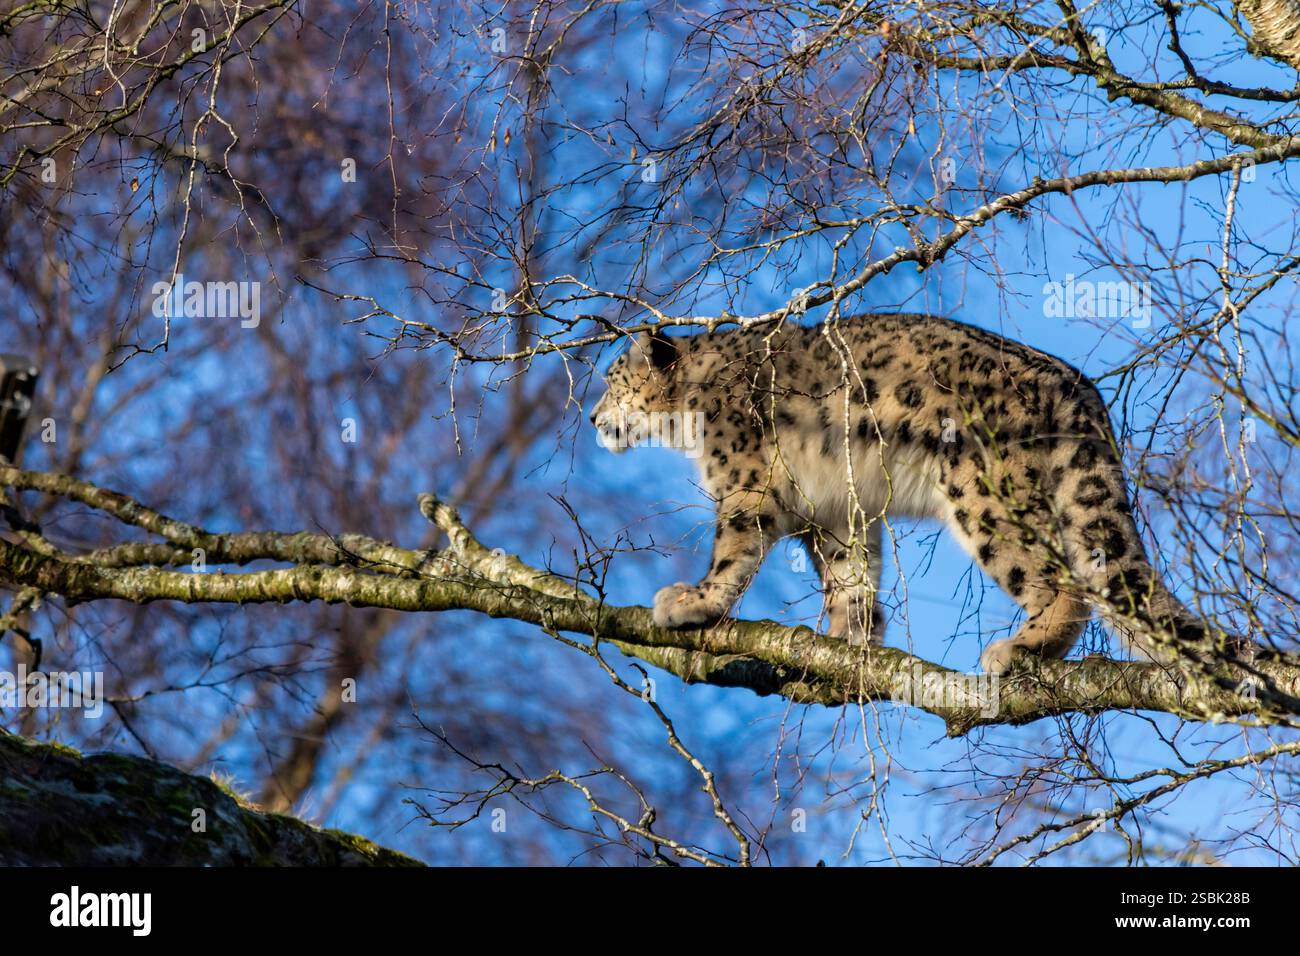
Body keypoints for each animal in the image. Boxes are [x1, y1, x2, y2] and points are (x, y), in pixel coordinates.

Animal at [588, 313, 1229, 674]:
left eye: (612, 381)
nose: (592, 417)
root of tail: (1076, 386)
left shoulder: (746, 482)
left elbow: (732, 549)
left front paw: (694, 600)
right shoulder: (835, 512)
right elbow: (849, 574)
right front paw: (849, 644)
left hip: (983, 493)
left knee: (1061, 581)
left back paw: (1019, 649)